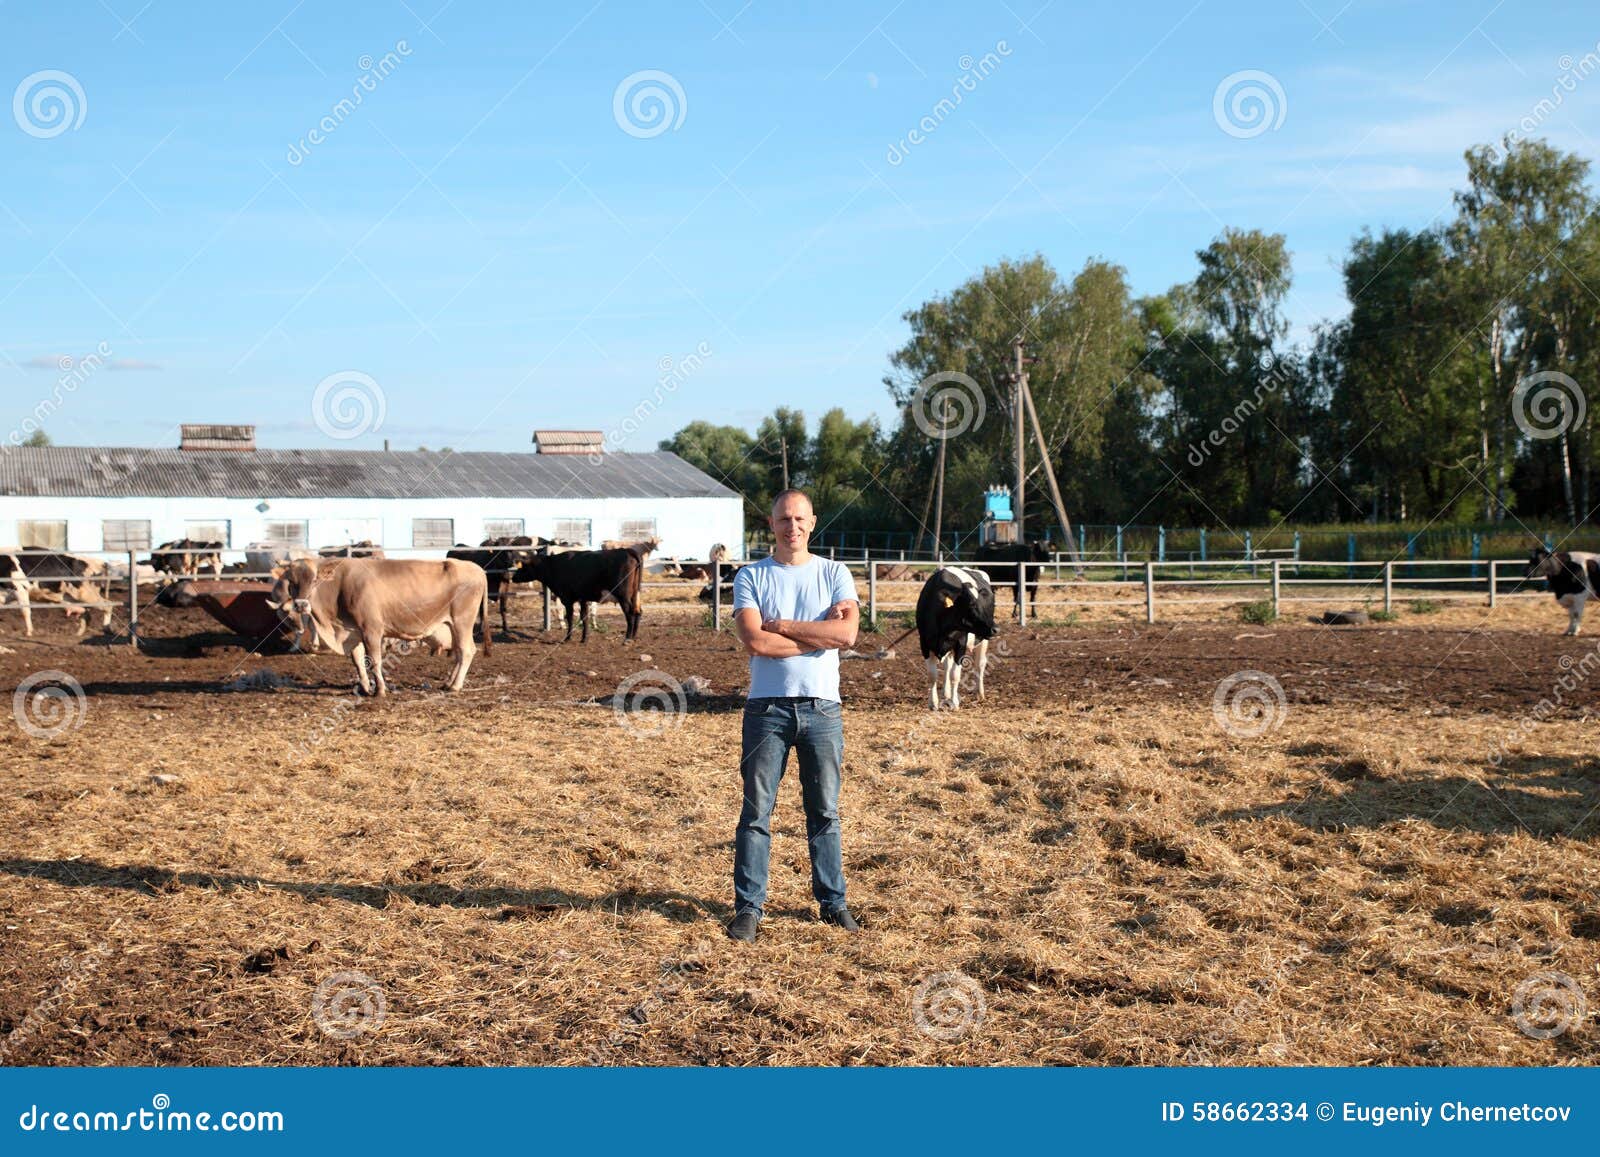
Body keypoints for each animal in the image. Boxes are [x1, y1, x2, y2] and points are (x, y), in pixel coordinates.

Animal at [265, 557, 492, 695]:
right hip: (453, 625)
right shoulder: (353, 632)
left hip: (462, 621)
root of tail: (477, 569)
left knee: (467, 650)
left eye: (314, 580)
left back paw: (455, 686)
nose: (301, 605)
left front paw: (380, 690)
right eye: (292, 583)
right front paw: (365, 687)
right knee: (458, 653)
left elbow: (374, 660)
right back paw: (448, 682)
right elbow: (358, 662)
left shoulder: (371, 629)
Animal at [512, 547, 643, 642]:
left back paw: (627, 638)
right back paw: (634, 637)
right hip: (635, 595)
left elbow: (570, 618)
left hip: (623, 596)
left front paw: (567, 638)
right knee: (638, 612)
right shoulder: (583, 599)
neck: (554, 566)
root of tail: (626, 550)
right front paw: (584, 639)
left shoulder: (567, 599)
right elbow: (584, 617)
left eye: (524, 566)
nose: (513, 577)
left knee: (630, 614)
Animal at [916, 566, 997, 711]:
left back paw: (980, 694)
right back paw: (946, 693)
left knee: (980, 664)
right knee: (947, 666)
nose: (995, 629)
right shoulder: (924, 644)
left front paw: (954, 703)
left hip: (983, 640)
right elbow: (932, 675)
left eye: (984, 604)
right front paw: (933, 703)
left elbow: (955, 675)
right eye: (971, 605)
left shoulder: (960, 644)